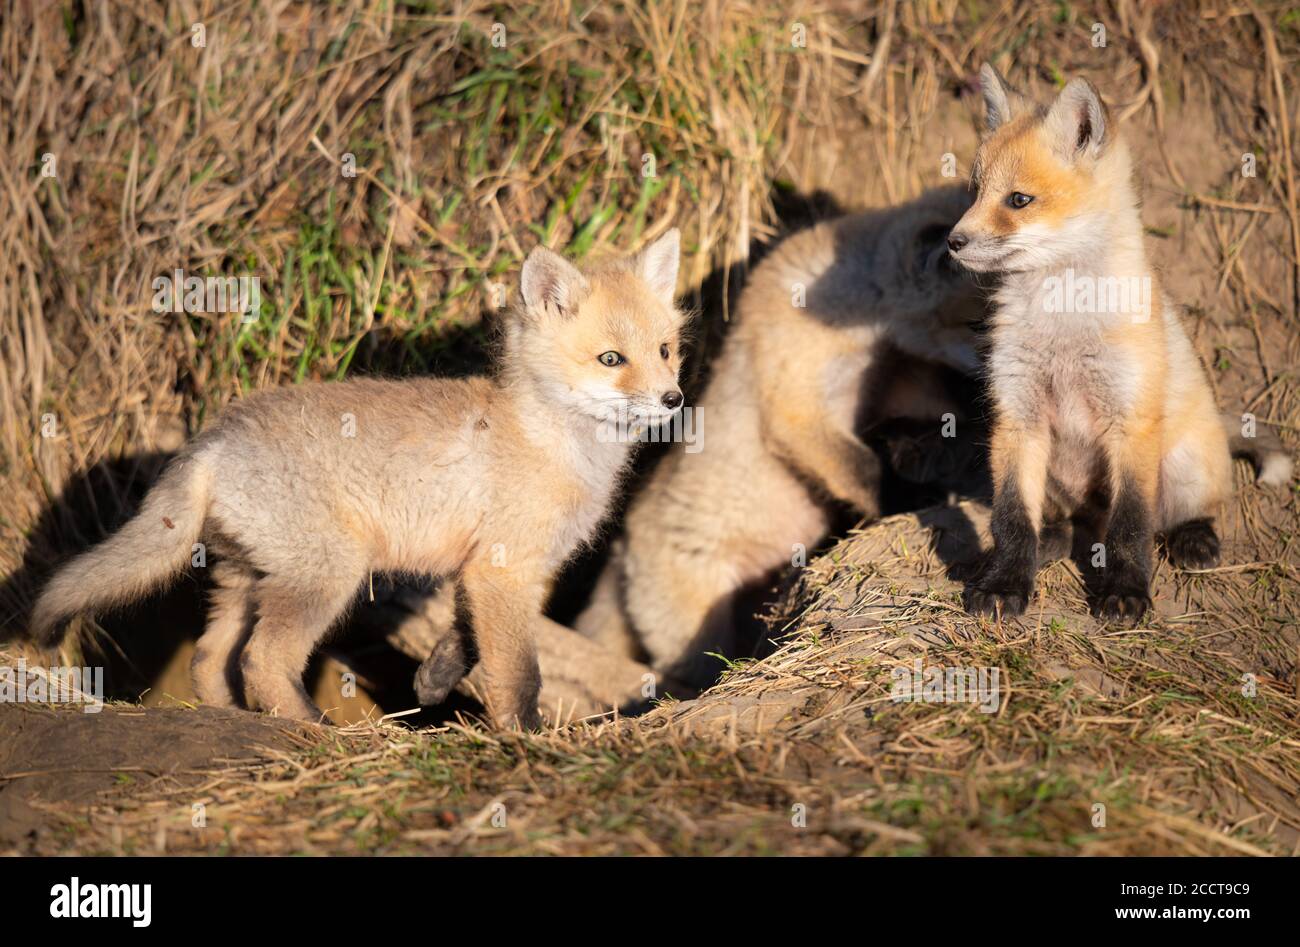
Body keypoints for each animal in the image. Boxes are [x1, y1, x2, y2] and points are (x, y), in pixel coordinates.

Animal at [30, 230, 687, 728]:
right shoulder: (505, 571)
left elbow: (466, 639)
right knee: (262, 660)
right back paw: (322, 731)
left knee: (210, 657)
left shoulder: (490, 569)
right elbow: (519, 674)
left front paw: (433, 680)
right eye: (611, 360)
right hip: (329, 572)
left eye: (664, 350)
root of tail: (215, 437)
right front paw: (525, 737)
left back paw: (232, 721)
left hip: (248, 579)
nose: (675, 399)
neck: (550, 438)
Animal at [947, 64, 1293, 622]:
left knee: (1176, 515)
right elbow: (1011, 518)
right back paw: (1049, 542)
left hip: (1182, 464)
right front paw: (1005, 581)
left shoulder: (1129, 421)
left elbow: (1132, 525)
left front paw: (1127, 592)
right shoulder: (1018, 417)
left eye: (1018, 200)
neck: (1063, 324)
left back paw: (1195, 538)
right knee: (1073, 527)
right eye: (975, 192)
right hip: (1058, 474)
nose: (952, 242)